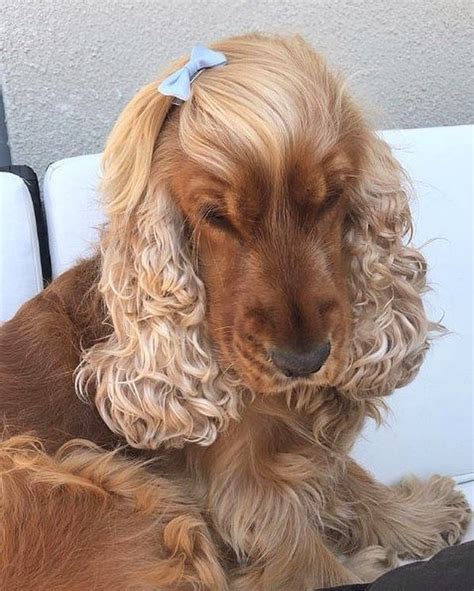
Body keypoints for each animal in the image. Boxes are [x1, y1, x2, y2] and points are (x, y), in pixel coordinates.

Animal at [0, 33, 470, 590]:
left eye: (331, 198)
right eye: (215, 217)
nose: (304, 361)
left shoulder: (298, 442)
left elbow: (347, 479)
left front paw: (417, 517)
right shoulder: (247, 481)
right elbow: (306, 557)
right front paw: (359, 559)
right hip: (102, 483)